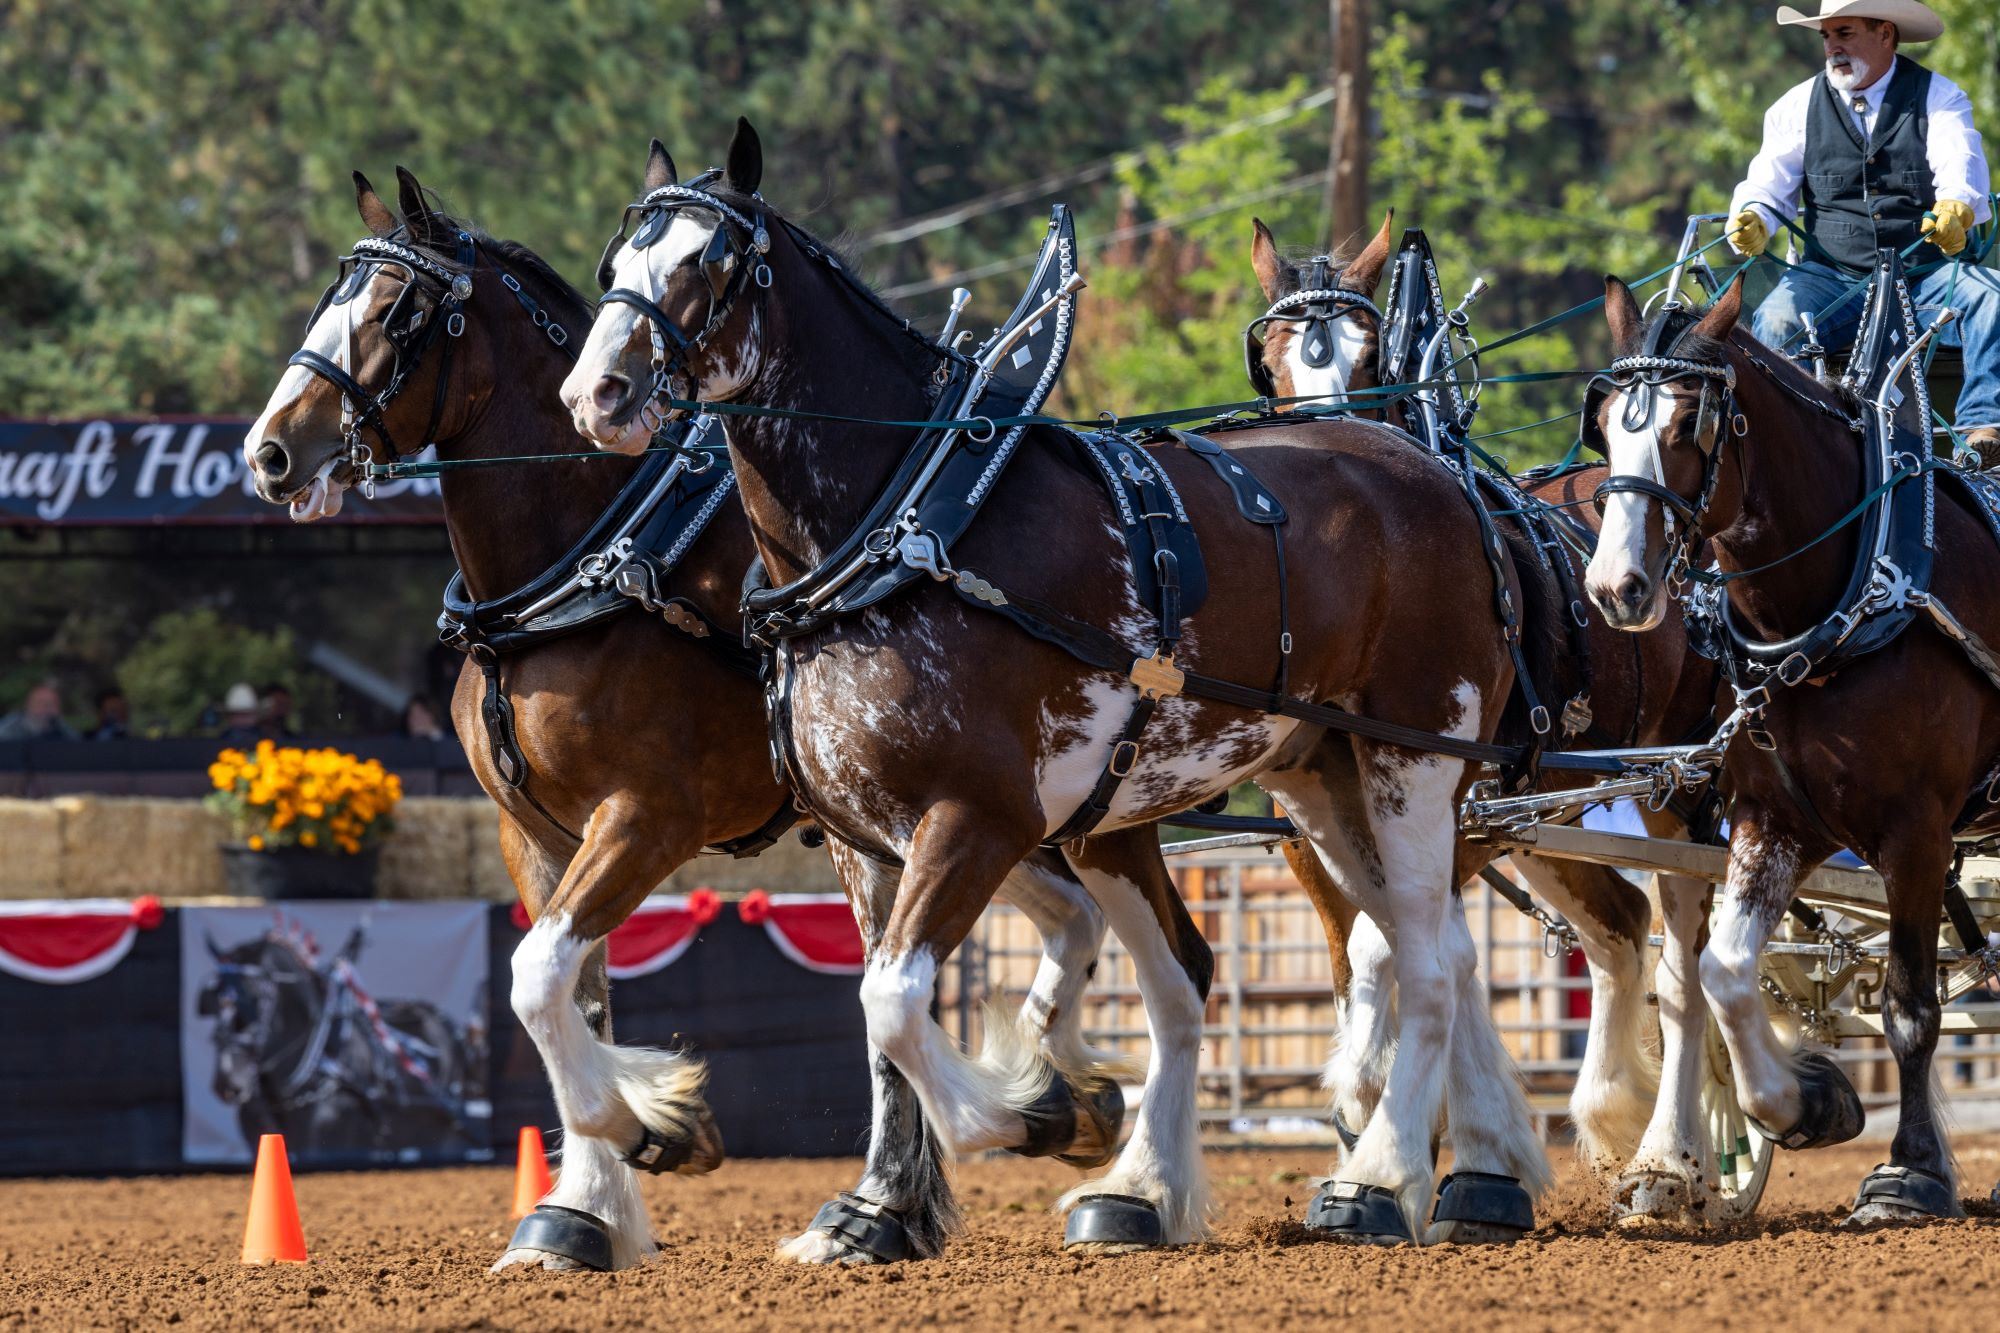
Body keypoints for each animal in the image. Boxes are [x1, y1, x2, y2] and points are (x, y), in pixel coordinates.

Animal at [242, 168, 1128, 1270]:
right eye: (334, 294)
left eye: (396, 311)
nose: (271, 453)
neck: (589, 560)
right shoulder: (535, 834)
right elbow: (566, 993)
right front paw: (579, 1208)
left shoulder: (646, 817)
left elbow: (536, 979)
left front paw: (652, 1130)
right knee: (1058, 926)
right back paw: (1045, 1111)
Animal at [561, 118, 1590, 1253]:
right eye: (614, 265)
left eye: (710, 262)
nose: (596, 395)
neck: (904, 526)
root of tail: (1439, 480)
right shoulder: (860, 836)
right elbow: (877, 1009)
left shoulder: (979, 815)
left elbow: (896, 1002)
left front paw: (1036, 1109)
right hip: (1323, 782)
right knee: (1388, 955)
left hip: (1415, 759)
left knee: (1427, 966)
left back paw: (1383, 1176)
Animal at [1247, 215, 1733, 1225]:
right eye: (1271, 365)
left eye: (1371, 356)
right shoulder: (1320, 838)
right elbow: (1380, 953)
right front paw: (1401, 1135)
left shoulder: (1452, 810)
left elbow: (1404, 947)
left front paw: (1425, 1141)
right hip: (1550, 806)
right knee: (1623, 924)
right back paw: (1614, 1111)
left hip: (1679, 787)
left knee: (1687, 950)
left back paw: (1680, 1150)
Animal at [1581, 267, 1999, 1223]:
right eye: (1606, 424)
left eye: (1686, 427)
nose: (1616, 587)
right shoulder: (1774, 820)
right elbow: (1726, 971)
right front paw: (1805, 1103)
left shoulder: (1917, 833)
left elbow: (1913, 1008)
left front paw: (1911, 1174)